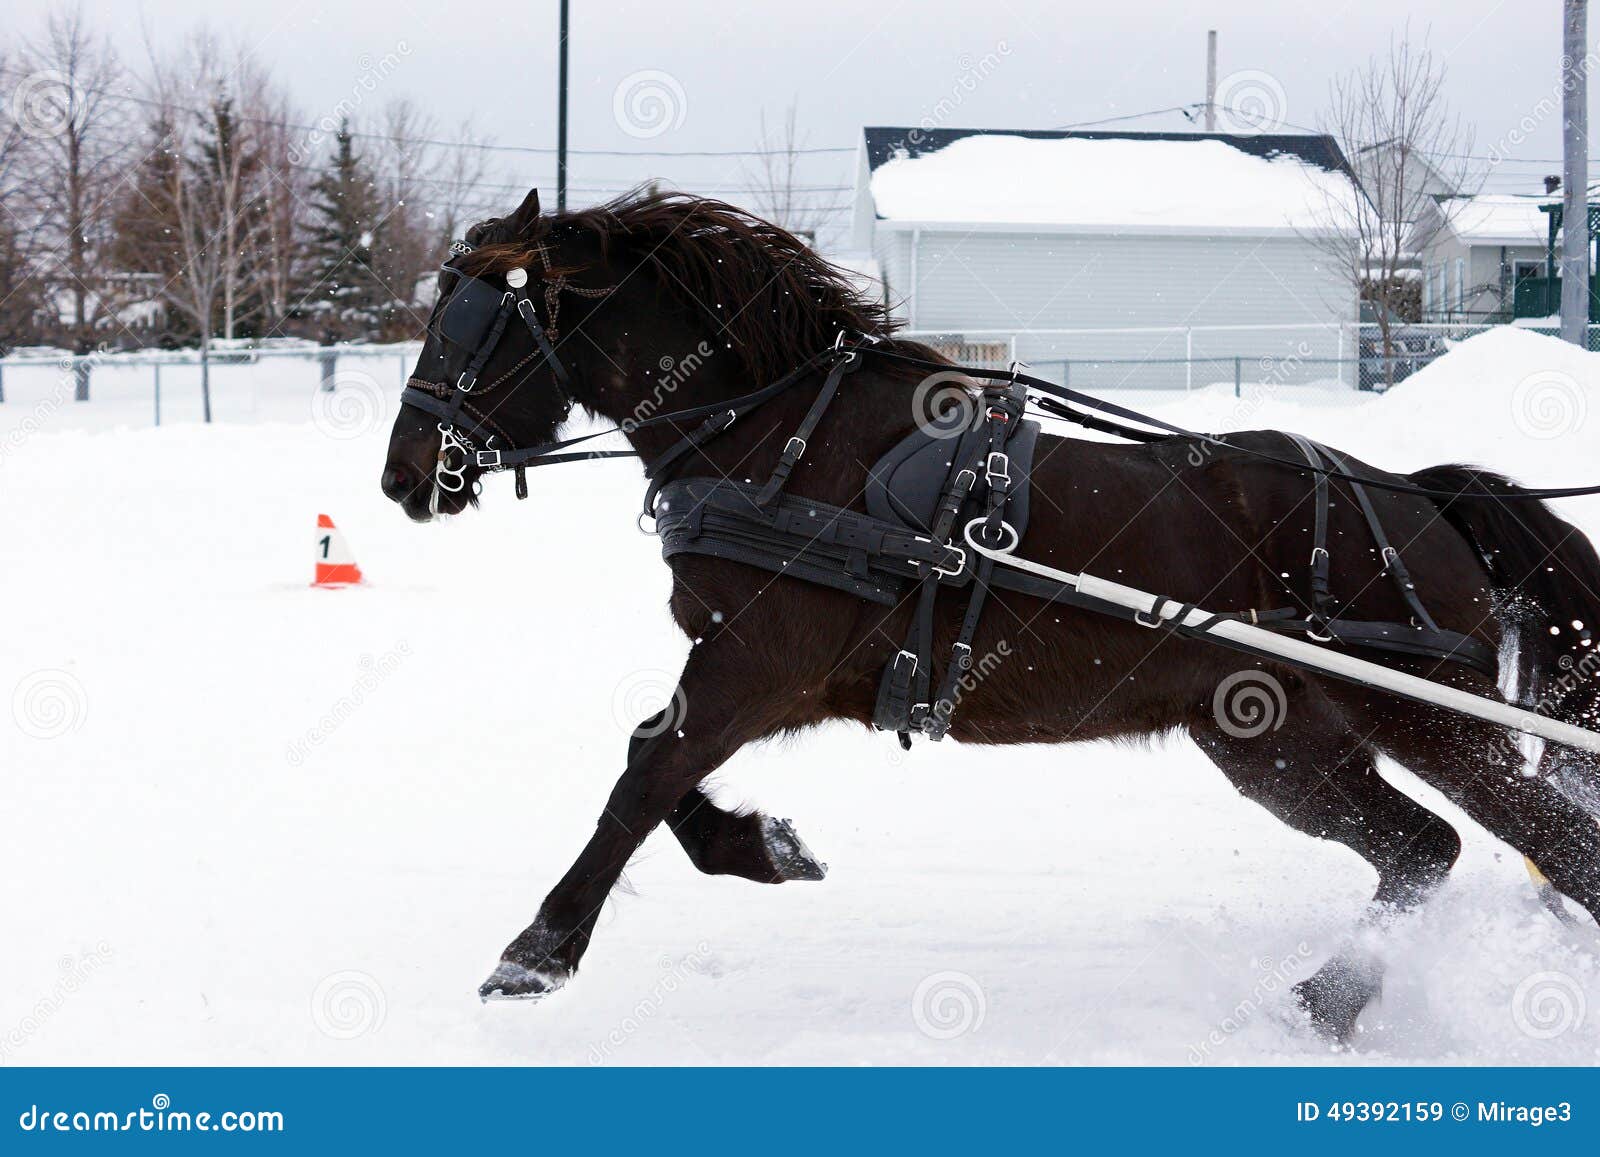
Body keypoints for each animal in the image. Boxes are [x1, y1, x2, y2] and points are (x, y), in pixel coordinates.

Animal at [382, 187, 1600, 1042]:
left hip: (1424, 714)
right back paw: (1322, 1005)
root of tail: (1417, 495)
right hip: (1273, 741)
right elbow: (658, 767)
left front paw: (535, 951)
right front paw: (766, 844)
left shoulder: (756, 665)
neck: (782, 436)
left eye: (472, 324)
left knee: (1548, 848)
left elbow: (641, 776)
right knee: (1424, 849)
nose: (402, 474)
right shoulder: (754, 672)